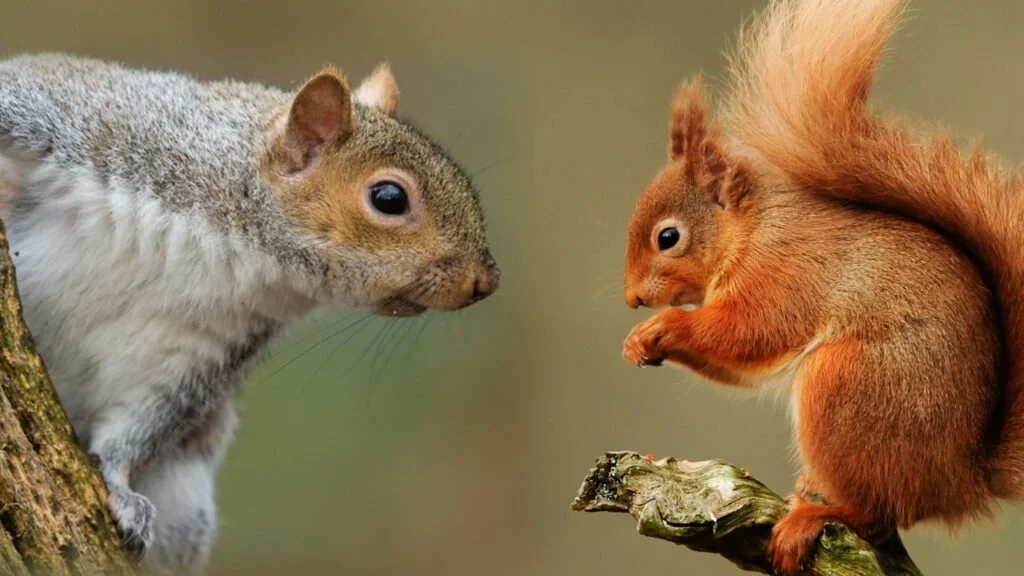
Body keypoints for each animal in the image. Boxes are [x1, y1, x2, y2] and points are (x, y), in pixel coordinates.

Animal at [0, 54, 499, 573]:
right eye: (389, 198)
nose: (487, 281)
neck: (236, 247)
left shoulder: (204, 351)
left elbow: (141, 426)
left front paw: (120, 490)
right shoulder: (99, 124)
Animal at [622, 0, 1024, 573]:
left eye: (668, 237)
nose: (632, 298)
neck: (751, 230)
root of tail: (961, 482)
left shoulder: (783, 273)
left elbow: (750, 333)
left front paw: (665, 326)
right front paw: (639, 340)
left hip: (846, 386)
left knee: (877, 514)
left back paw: (816, 517)